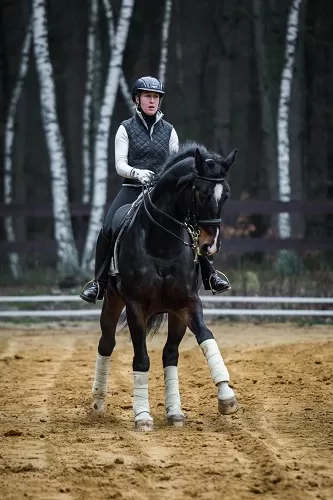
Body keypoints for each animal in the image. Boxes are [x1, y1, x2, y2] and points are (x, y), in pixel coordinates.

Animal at [89, 140, 237, 430]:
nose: (209, 246)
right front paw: (143, 416)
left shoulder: (187, 303)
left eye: (225, 195)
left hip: (173, 314)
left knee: (170, 354)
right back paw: (98, 404)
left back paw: (175, 411)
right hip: (112, 301)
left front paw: (226, 397)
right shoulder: (135, 306)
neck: (161, 245)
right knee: (106, 344)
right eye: (202, 194)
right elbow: (141, 358)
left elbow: (206, 337)